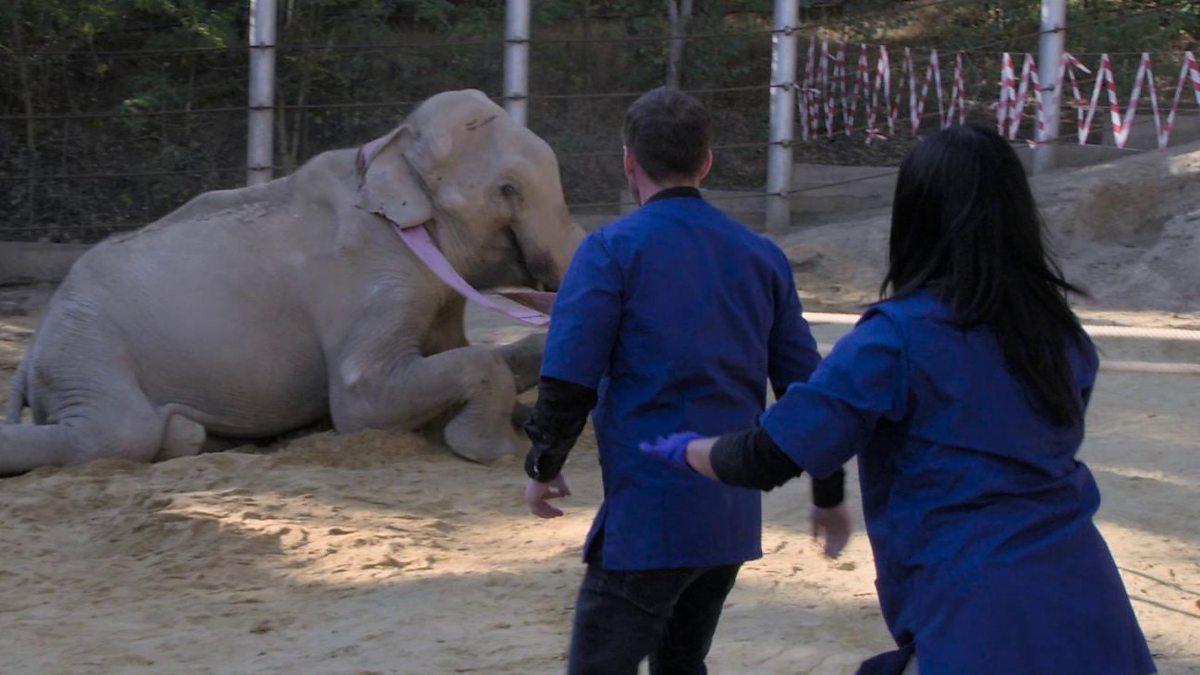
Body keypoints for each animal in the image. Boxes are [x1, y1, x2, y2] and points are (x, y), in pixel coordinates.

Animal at [1, 89, 584, 474]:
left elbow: (464, 351)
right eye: (507, 190)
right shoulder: (369, 273)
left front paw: (526, 416)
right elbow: (358, 401)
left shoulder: (433, 293)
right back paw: (180, 437)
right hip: (87, 349)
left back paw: (189, 437)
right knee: (115, 432)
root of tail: (31, 353)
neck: (389, 146)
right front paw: (490, 451)